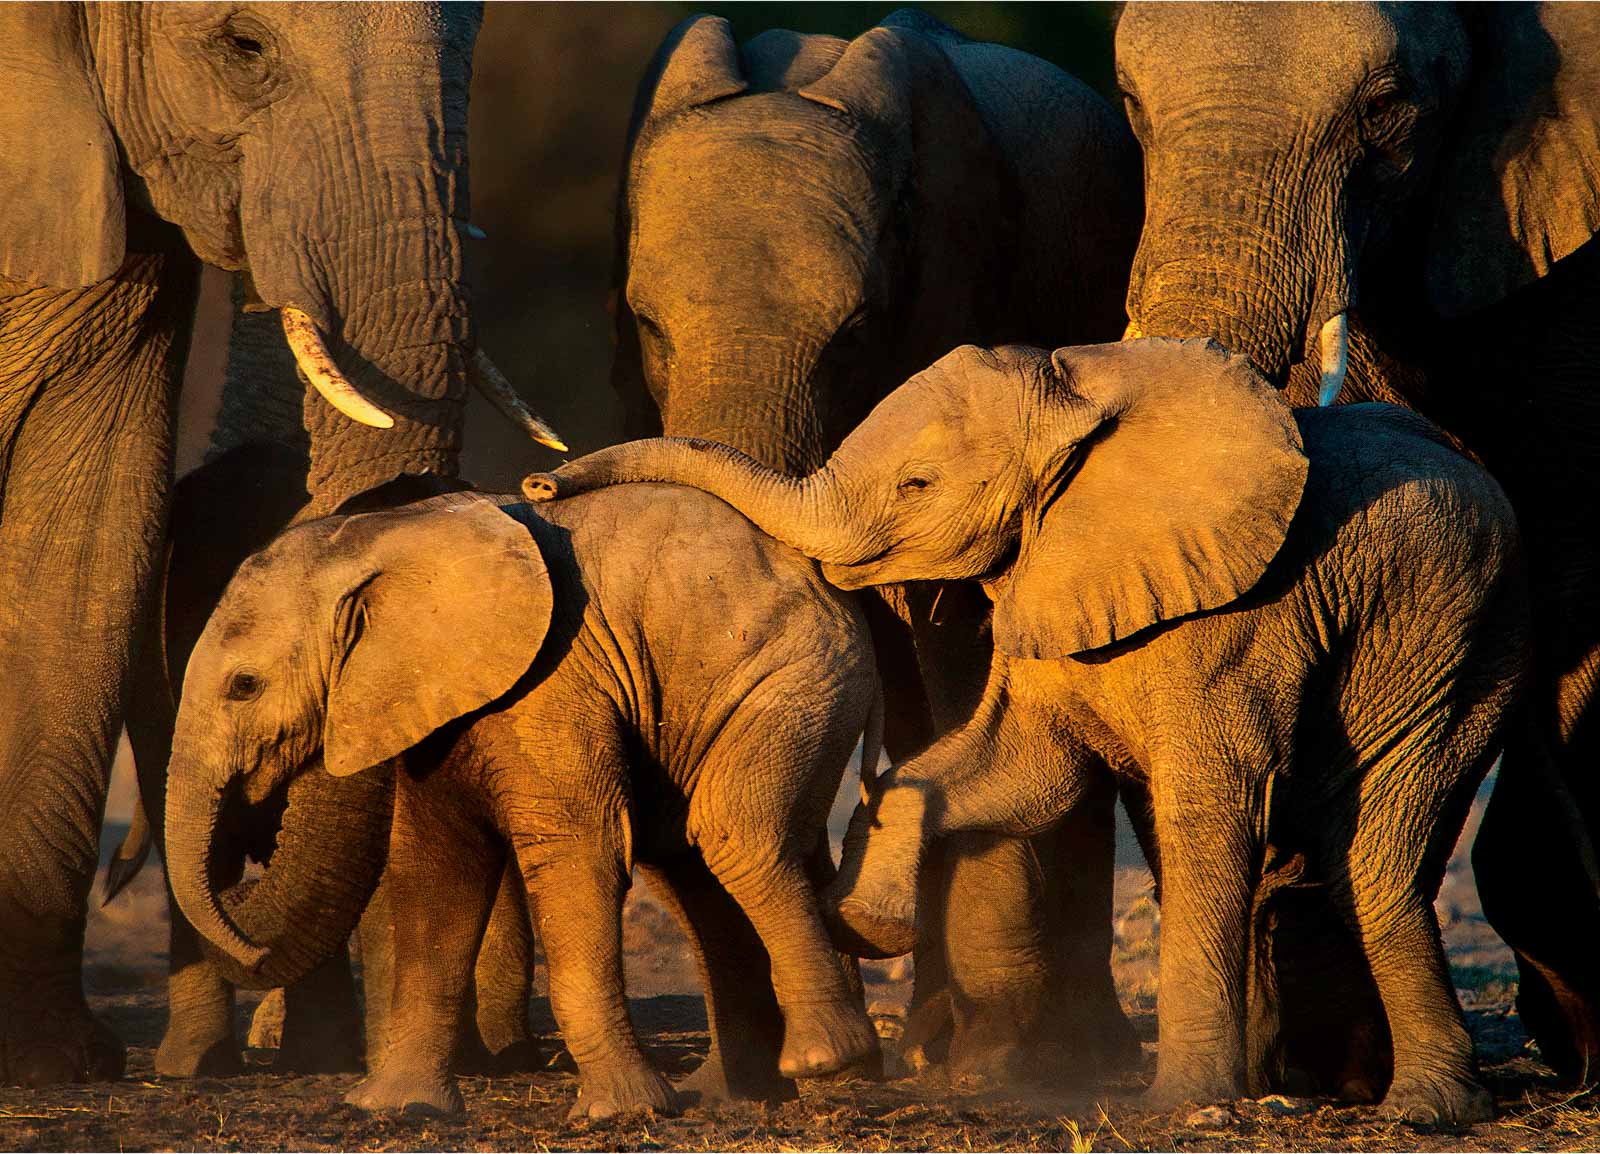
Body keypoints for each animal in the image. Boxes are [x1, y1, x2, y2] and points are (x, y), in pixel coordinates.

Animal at [162, 487, 881, 1118]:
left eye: (243, 686)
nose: (238, 889)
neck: (388, 534)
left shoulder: (551, 681)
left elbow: (579, 852)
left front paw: (619, 1113)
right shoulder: (439, 702)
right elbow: (437, 868)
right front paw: (396, 1109)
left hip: (797, 680)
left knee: (734, 836)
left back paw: (820, 1062)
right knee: (689, 872)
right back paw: (736, 1097)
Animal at [524, 336, 1530, 1124]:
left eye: (917, 483)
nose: (538, 478)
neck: (1080, 389)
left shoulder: (1238, 619)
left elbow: (1208, 808)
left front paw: (1180, 1104)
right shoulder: (1048, 580)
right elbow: (1021, 771)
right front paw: (863, 918)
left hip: (1461, 638)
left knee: (1378, 850)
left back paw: (1420, 1108)